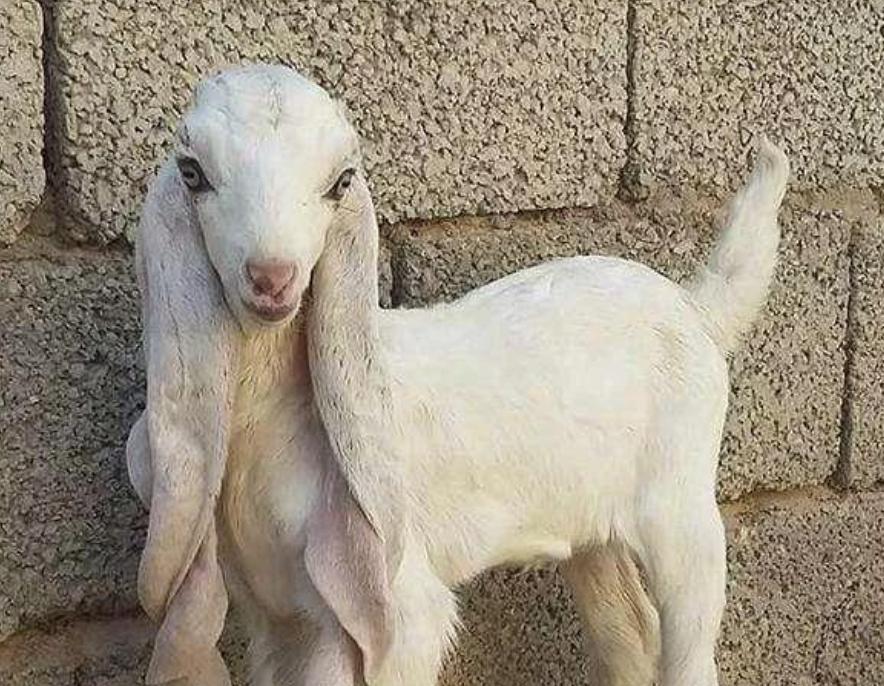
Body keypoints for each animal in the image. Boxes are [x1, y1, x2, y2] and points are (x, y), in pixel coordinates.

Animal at [126, 63, 790, 686]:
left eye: (341, 182)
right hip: (589, 522)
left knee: (688, 639)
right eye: (193, 173)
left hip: (683, 501)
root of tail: (696, 307)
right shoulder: (274, 613)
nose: (272, 278)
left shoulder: (393, 608)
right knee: (629, 630)